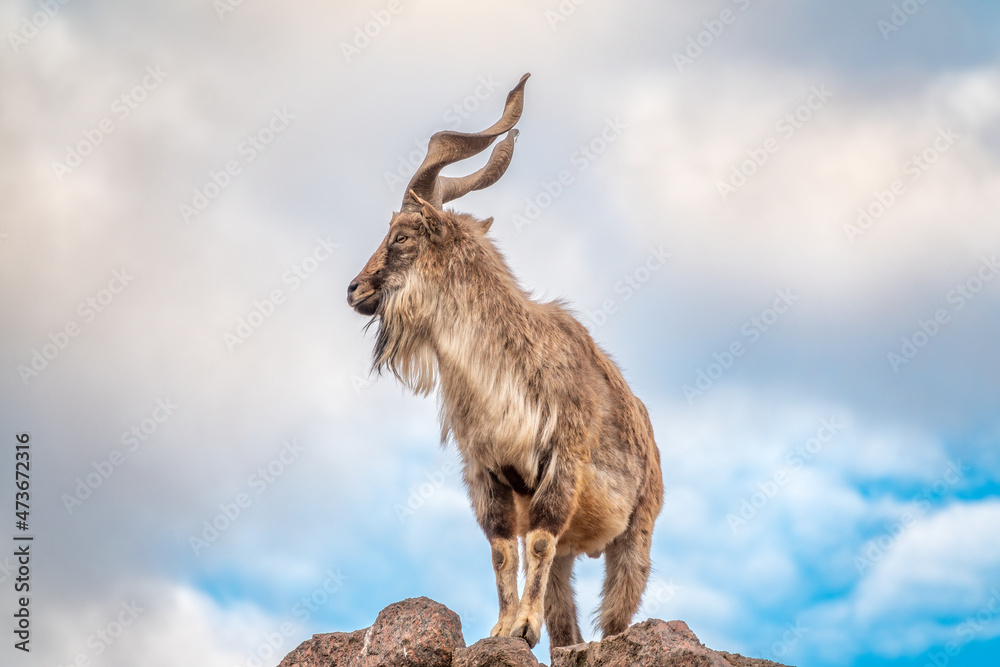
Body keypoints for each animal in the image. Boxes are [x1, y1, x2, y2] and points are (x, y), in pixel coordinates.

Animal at [347, 74, 663, 650]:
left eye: (401, 236)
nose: (354, 290)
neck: (504, 368)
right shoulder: (485, 470)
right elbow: (501, 549)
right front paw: (502, 627)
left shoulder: (561, 459)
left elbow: (534, 540)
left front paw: (521, 627)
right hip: (574, 553)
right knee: (566, 615)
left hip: (636, 532)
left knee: (615, 613)